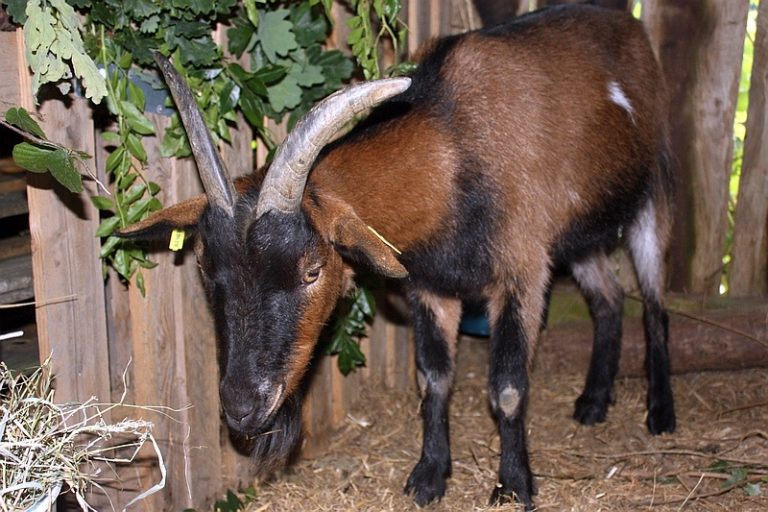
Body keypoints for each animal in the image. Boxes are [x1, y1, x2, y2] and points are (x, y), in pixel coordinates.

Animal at [120, 5, 675, 509]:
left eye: (312, 270)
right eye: (205, 269)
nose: (241, 407)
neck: (453, 152)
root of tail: (627, 25)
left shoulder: (522, 272)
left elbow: (508, 388)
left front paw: (514, 485)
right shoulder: (429, 286)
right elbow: (432, 380)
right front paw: (429, 477)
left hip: (652, 196)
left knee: (654, 304)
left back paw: (661, 413)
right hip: (578, 236)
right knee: (608, 298)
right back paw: (593, 402)